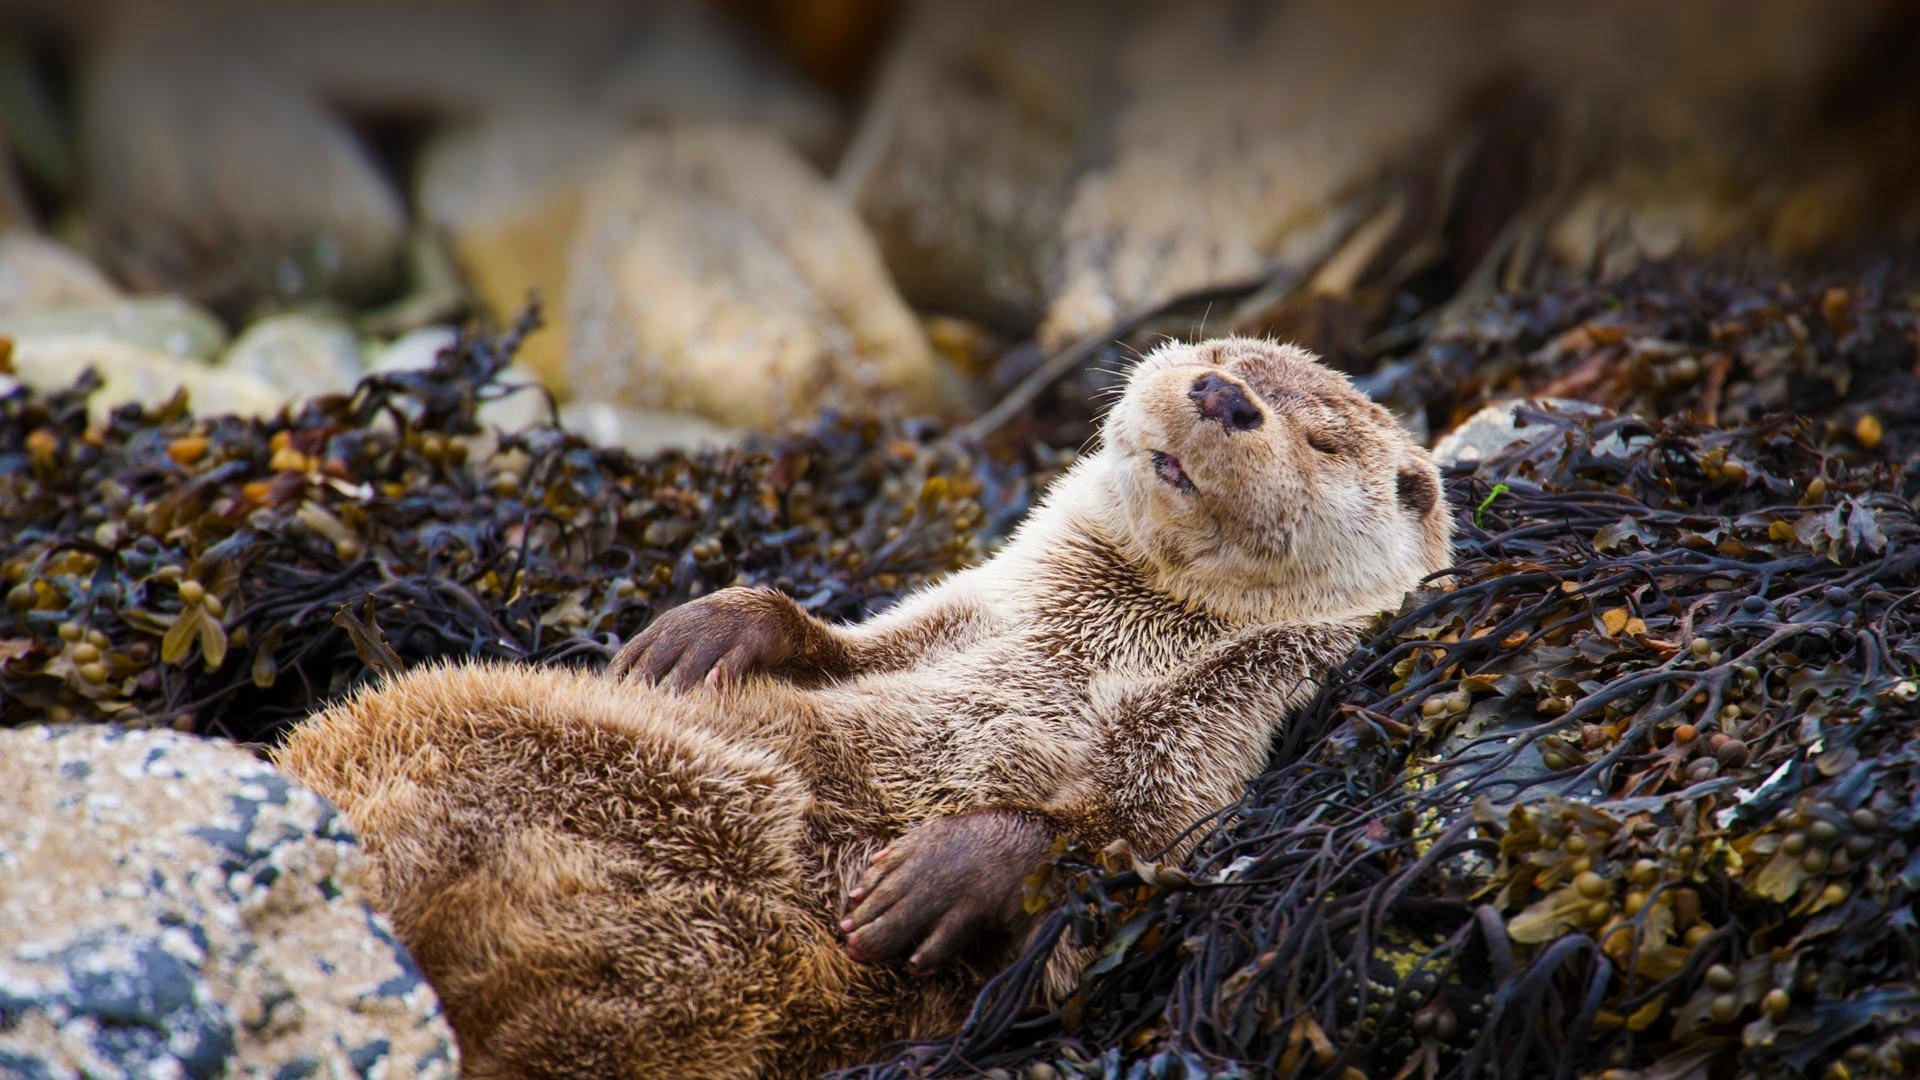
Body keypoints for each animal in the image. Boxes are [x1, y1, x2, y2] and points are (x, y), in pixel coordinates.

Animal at [275, 338, 1452, 1078]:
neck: (1094, 643)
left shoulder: (1220, 733)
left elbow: (1118, 851)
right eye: (1220, 362)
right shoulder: (962, 614)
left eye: (1322, 439)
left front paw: (943, 873)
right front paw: (710, 631)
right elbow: (846, 644)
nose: (1221, 397)